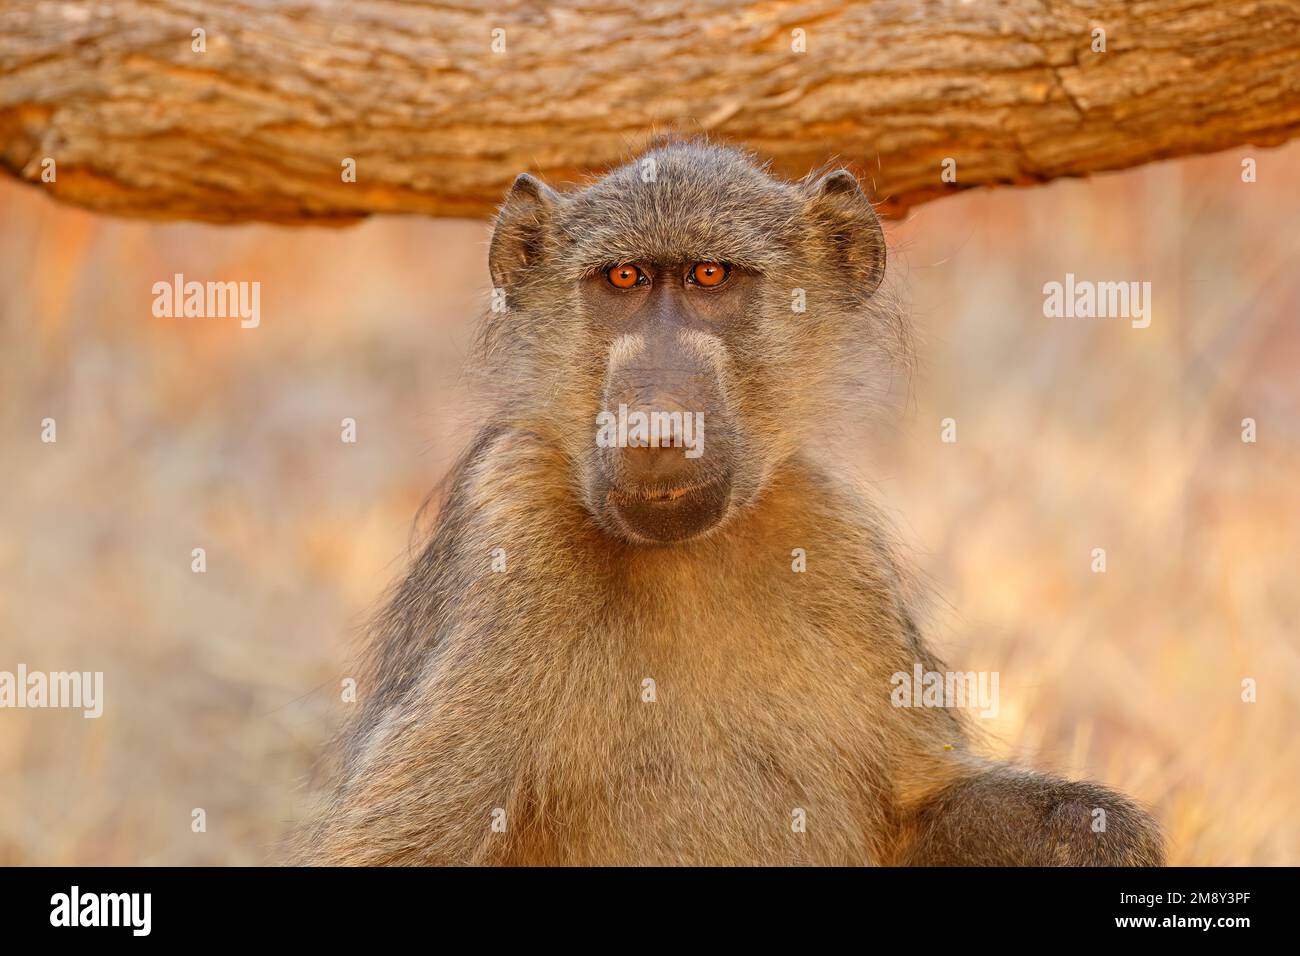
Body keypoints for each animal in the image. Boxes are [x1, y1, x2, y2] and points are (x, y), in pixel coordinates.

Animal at [300, 141, 1165, 866]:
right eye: (624, 281)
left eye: (710, 279)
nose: (657, 420)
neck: (683, 553)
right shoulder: (509, 520)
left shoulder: (830, 534)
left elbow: (923, 809)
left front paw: (1097, 834)